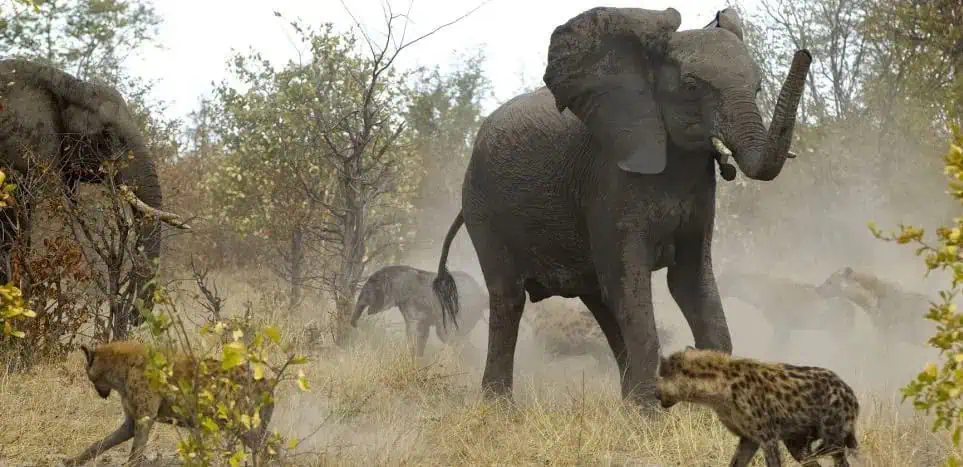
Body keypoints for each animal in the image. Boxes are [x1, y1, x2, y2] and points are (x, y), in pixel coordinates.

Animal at [351, 265, 489, 357]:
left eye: (371, 290)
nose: (354, 325)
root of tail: (483, 296)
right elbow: (419, 331)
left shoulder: (412, 302)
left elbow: (415, 331)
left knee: (446, 335)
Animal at [431, 6, 812, 407]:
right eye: (692, 87)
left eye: (757, 89)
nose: (805, 52)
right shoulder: (608, 179)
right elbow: (631, 286)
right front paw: (653, 416)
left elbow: (690, 282)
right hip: (483, 206)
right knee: (509, 297)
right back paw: (500, 408)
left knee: (599, 300)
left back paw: (627, 405)